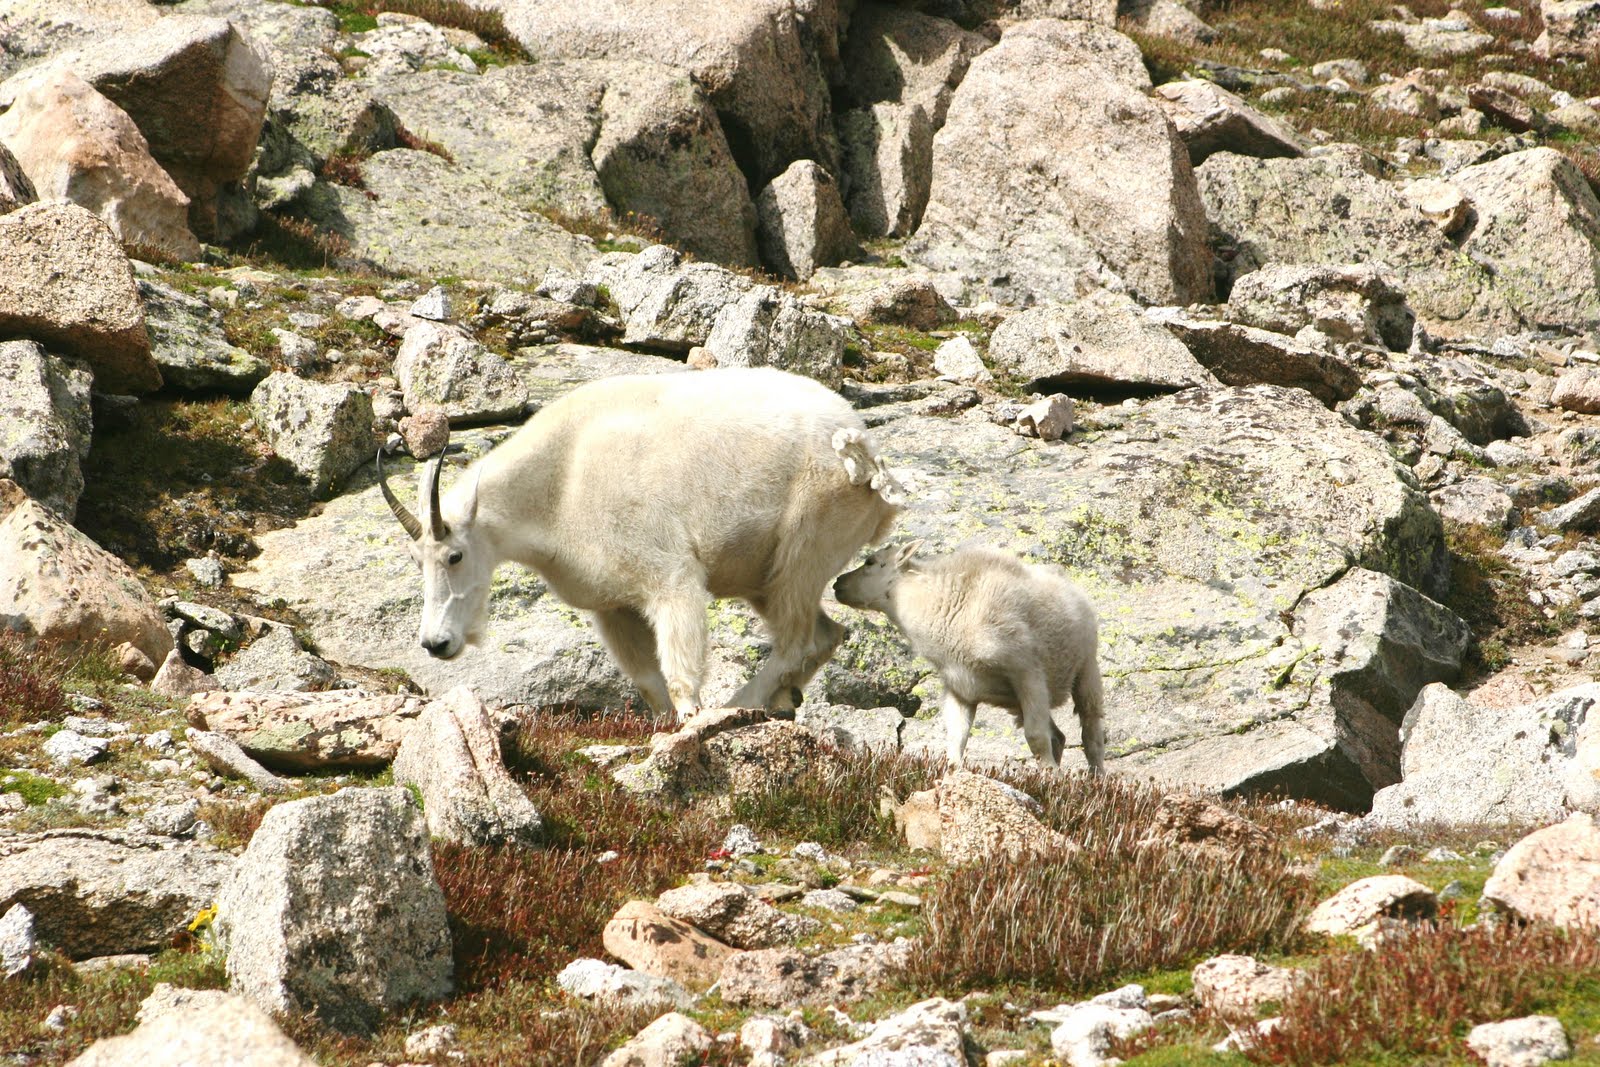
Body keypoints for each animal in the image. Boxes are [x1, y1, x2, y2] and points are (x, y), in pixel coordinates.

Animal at [378, 367, 904, 719]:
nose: (436, 643)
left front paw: (691, 725)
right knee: (825, 633)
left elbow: (679, 673)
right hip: (764, 575)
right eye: (415, 560)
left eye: (455, 555)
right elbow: (649, 683)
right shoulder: (613, 605)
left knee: (796, 638)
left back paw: (741, 704)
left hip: (807, 544)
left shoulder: (671, 577)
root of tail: (868, 455)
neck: (559, 485)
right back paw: (781, 700)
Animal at [834, 542, 1105, 772]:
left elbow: (1035, 735)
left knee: (1091, 734)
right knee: (1058, 736)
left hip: (1087, 669)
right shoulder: (960, 688)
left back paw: (1096, 779)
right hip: (1015, 701)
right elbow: (956, 737)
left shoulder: (1027, 672)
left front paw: (1053, 776)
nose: (837, 583)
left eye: (870, 561)